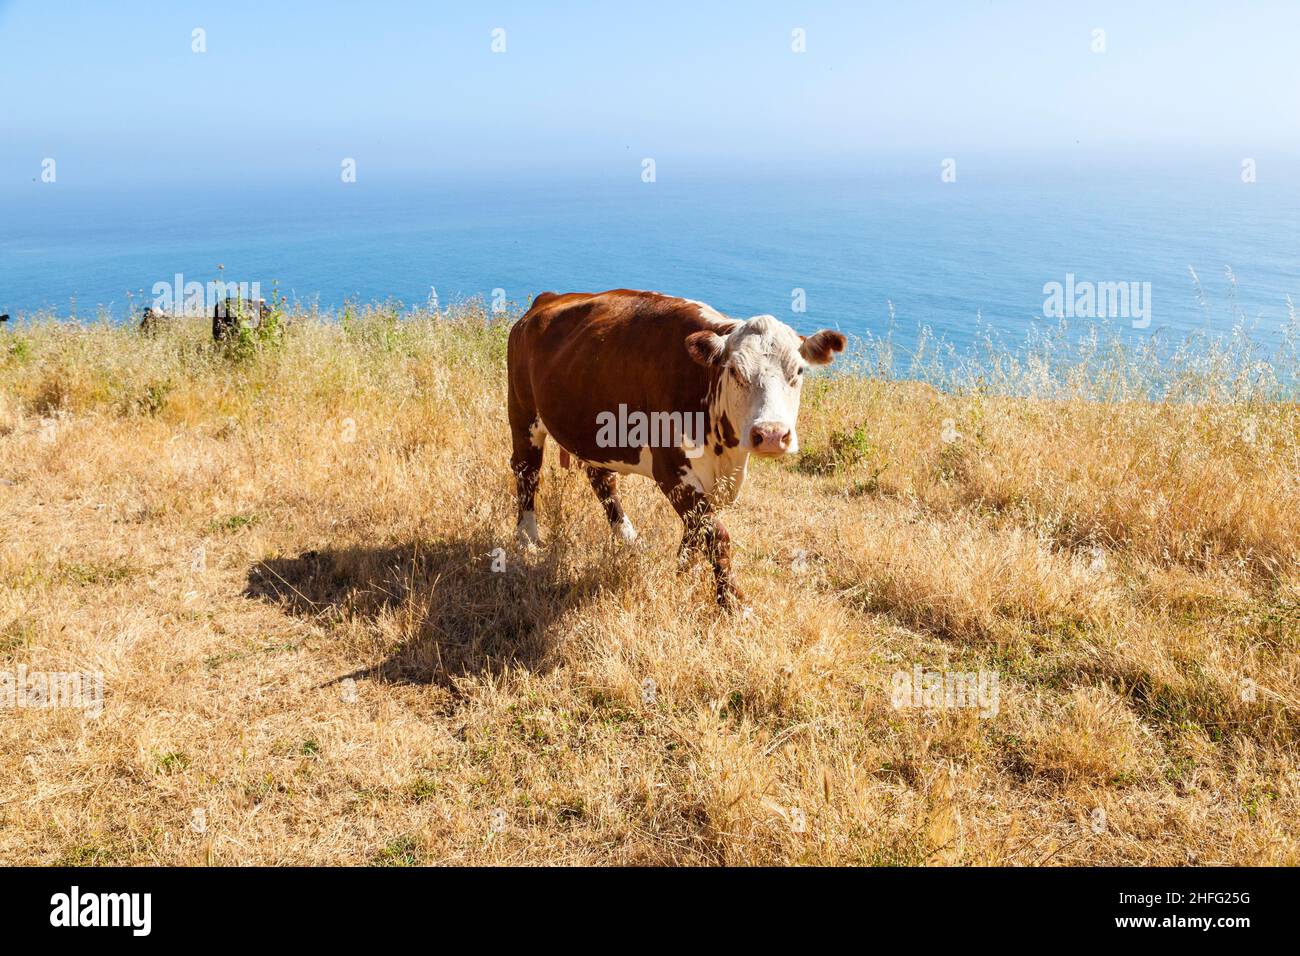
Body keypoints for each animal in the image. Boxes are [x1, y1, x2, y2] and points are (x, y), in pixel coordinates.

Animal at [507, 289, 846, 607]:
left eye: (798, 372)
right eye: (735, 371)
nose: (772, 434)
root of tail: (547, 299)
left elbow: (698, 530)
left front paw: (683, 573)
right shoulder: (671, 470)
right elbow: (717, 534)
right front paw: (732, 603)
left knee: (602, 479)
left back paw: (628, 538)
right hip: (523, 413)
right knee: (527, 471)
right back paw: (528, 539)